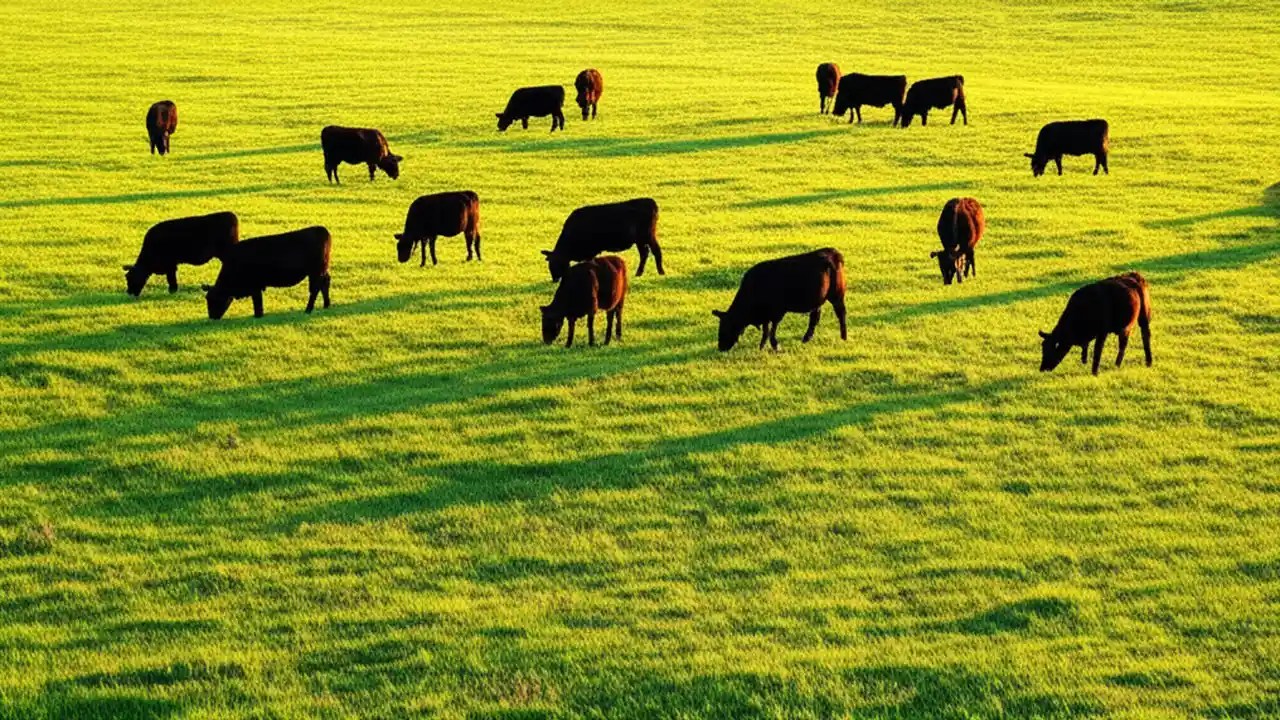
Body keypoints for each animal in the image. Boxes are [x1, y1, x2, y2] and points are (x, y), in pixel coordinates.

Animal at [202, 226, 332, 319]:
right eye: (207, 299)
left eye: (214, 300)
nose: (212, 317)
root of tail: (322, 230)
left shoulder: (255, 286)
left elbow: (257, 303)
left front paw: (258, 316)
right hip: (321, 271)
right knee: (325, 283)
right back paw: (326, 305)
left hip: (315, 272)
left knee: (315, 289)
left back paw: (308, 310)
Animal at [711, 248, 847, 352]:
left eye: (727, 326)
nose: (721, 347)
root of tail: (833, 252)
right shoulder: (766, 314)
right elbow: (766, 329)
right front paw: (762, 346)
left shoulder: (777, 311)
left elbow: (772, 328)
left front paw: (775, 345)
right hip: (818, 299)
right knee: (815, 316)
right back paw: (806, 338)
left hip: (837, 294)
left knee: (841, 313)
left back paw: (843, 337)